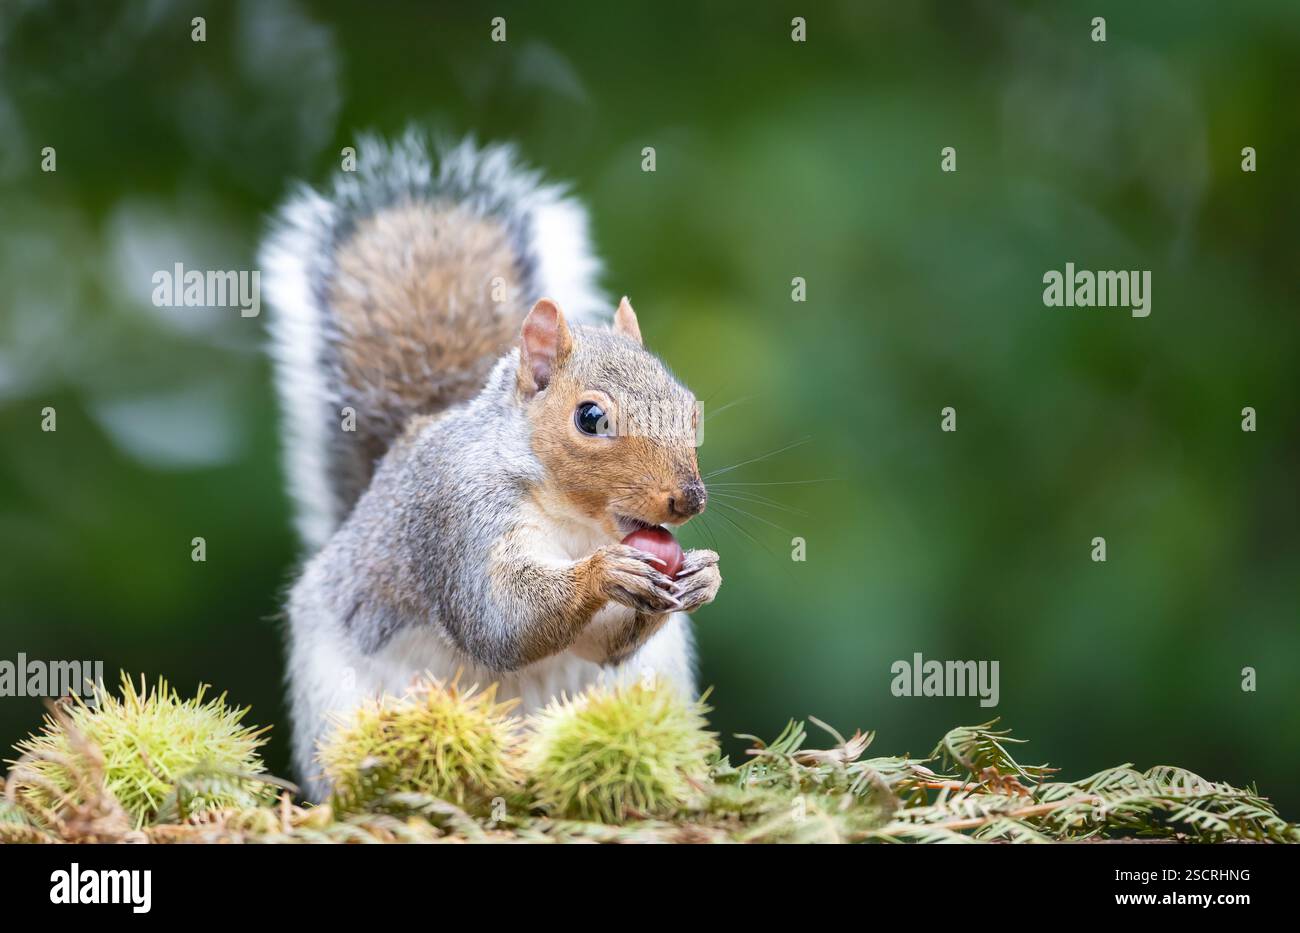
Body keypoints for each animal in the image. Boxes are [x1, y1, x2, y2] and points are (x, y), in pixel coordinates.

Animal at [261, 133, 721, 799]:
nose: (688, 500)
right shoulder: (458, 512)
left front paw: (705, 575)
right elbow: (498, 620)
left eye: (690, 409)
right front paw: (603, 572)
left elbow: (598, 643)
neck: (573, 519)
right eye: (590, 418)